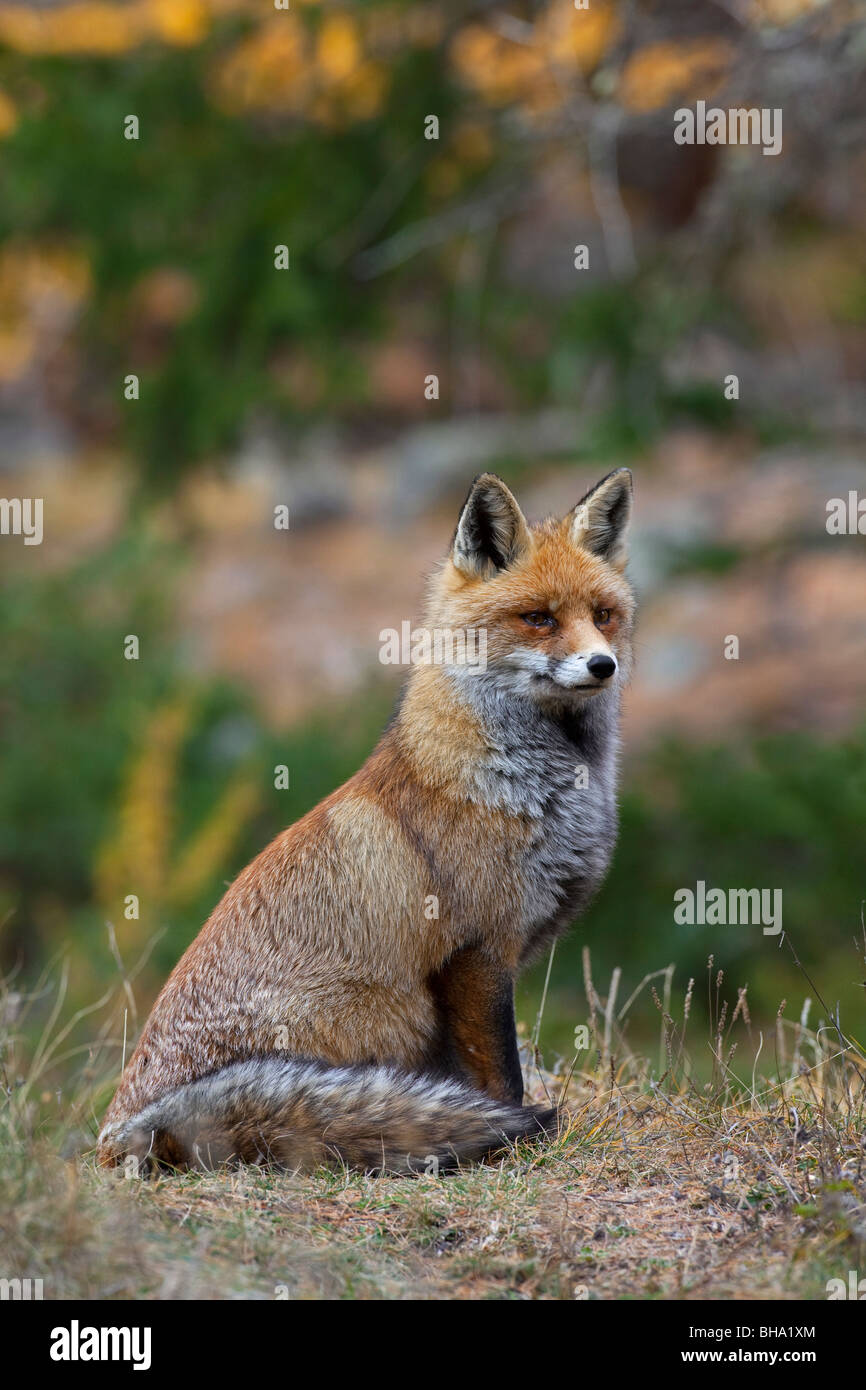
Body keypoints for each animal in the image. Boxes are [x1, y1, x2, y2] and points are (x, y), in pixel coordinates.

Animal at [97, 467, 636, 1176]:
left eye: (602, 615)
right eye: (539, 618)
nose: (603, 664)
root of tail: (116, 1134)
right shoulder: (477, 954)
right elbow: (503, 1078)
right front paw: (516, 1137)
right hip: (381, 1017)